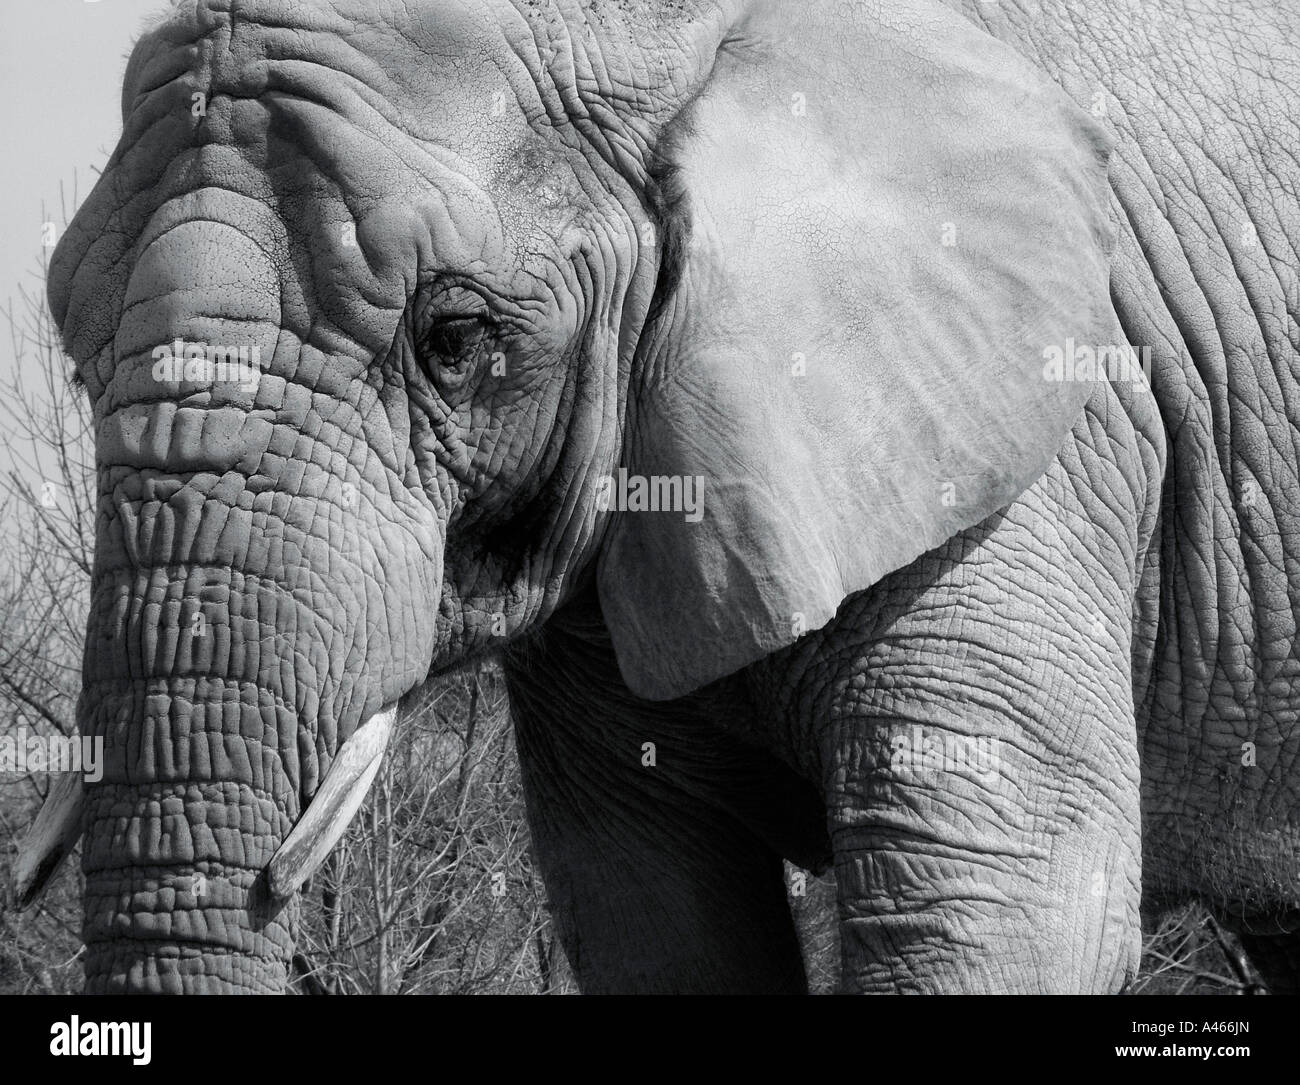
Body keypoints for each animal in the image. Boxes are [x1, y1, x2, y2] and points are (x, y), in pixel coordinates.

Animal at [12, 0, 1300, 994]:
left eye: (455, 338)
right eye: (77, 364)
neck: (672, 47)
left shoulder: (1042, 442)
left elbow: (992, 908)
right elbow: (649, 910)